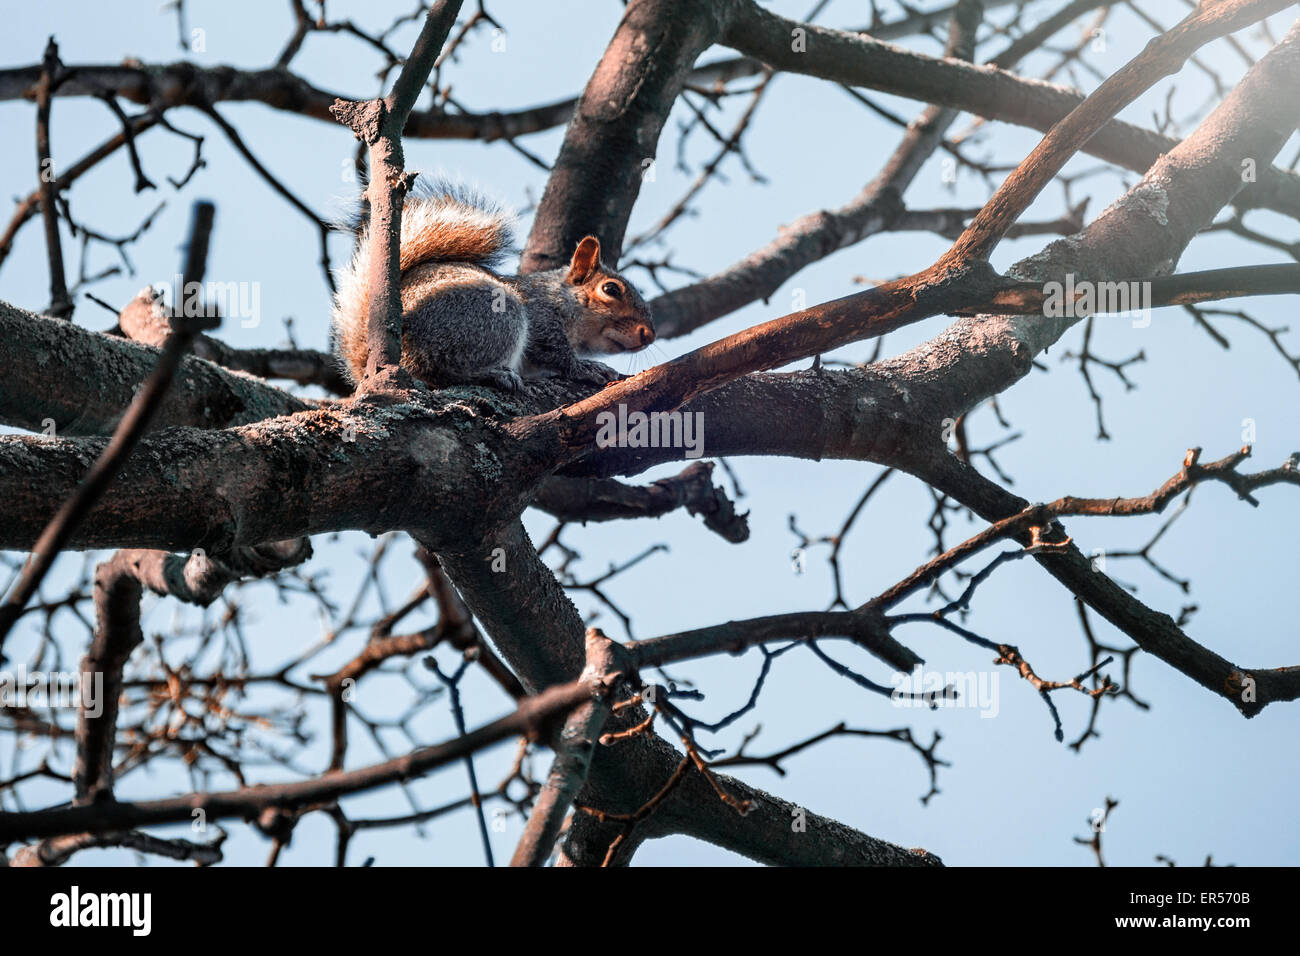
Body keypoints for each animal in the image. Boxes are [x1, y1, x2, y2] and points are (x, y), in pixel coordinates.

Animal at [331, 180, 655, 392]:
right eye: (611, 290)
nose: (649, 335)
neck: (562, 299)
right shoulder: (540, 315)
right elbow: (553, 351)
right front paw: (586, 368)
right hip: (494, 315)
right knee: (437, 370)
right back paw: (491, 375)